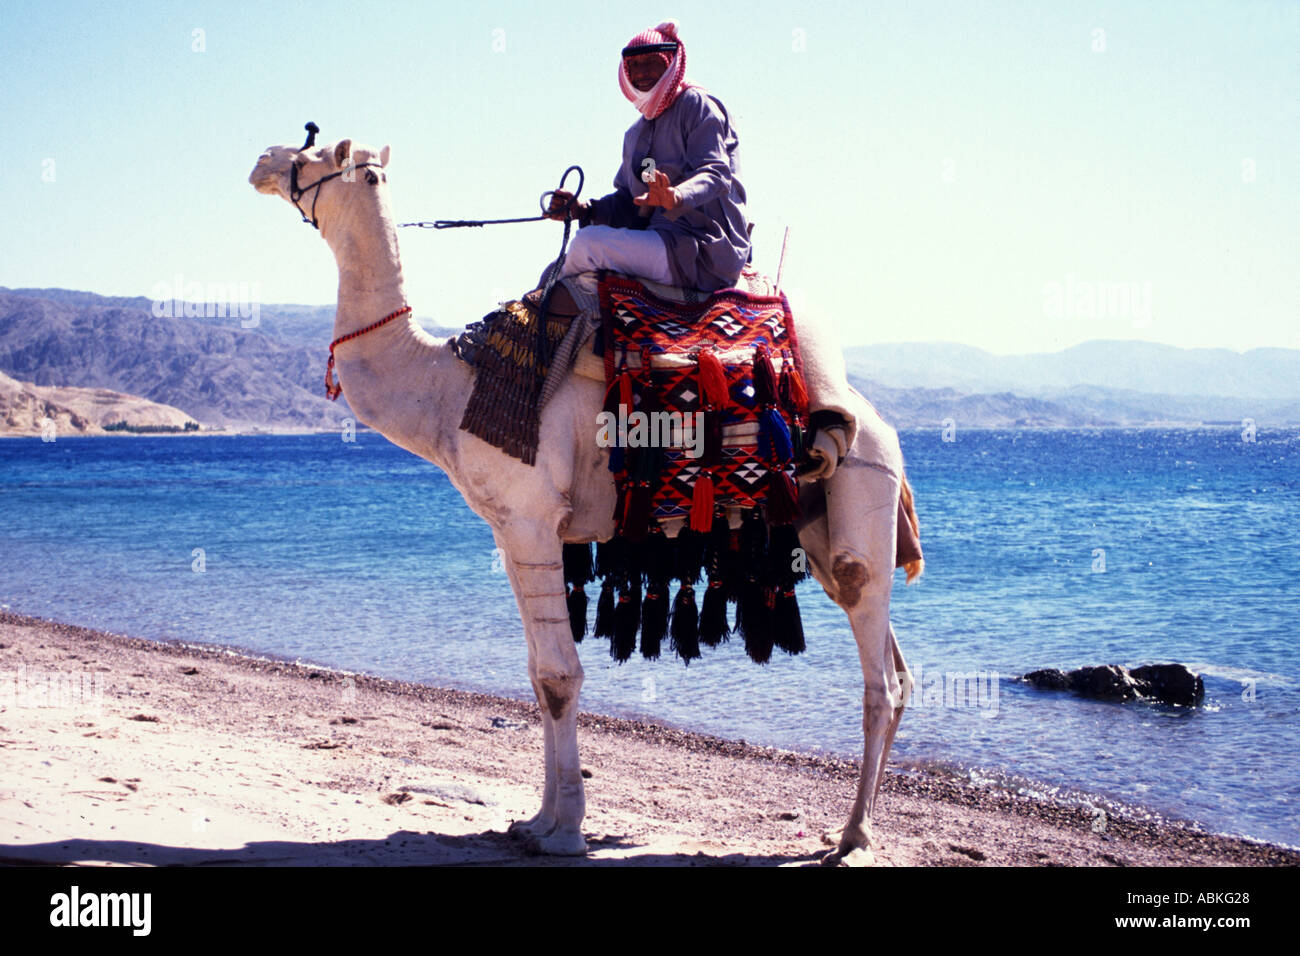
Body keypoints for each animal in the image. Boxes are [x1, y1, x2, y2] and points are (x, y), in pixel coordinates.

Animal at [248, 133, 919, 865]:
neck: (446, 388)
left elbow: (558, 677)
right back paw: (852, 826)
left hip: (860, 509)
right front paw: (534, 822)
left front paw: (566, 831)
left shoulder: (532, 520)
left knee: (880, 678)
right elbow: (537, 674)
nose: (263, 162)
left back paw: (851, 837)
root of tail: (882, 428)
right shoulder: (513, 534)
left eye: (315, 153)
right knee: (899, 672)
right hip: (817, 534)